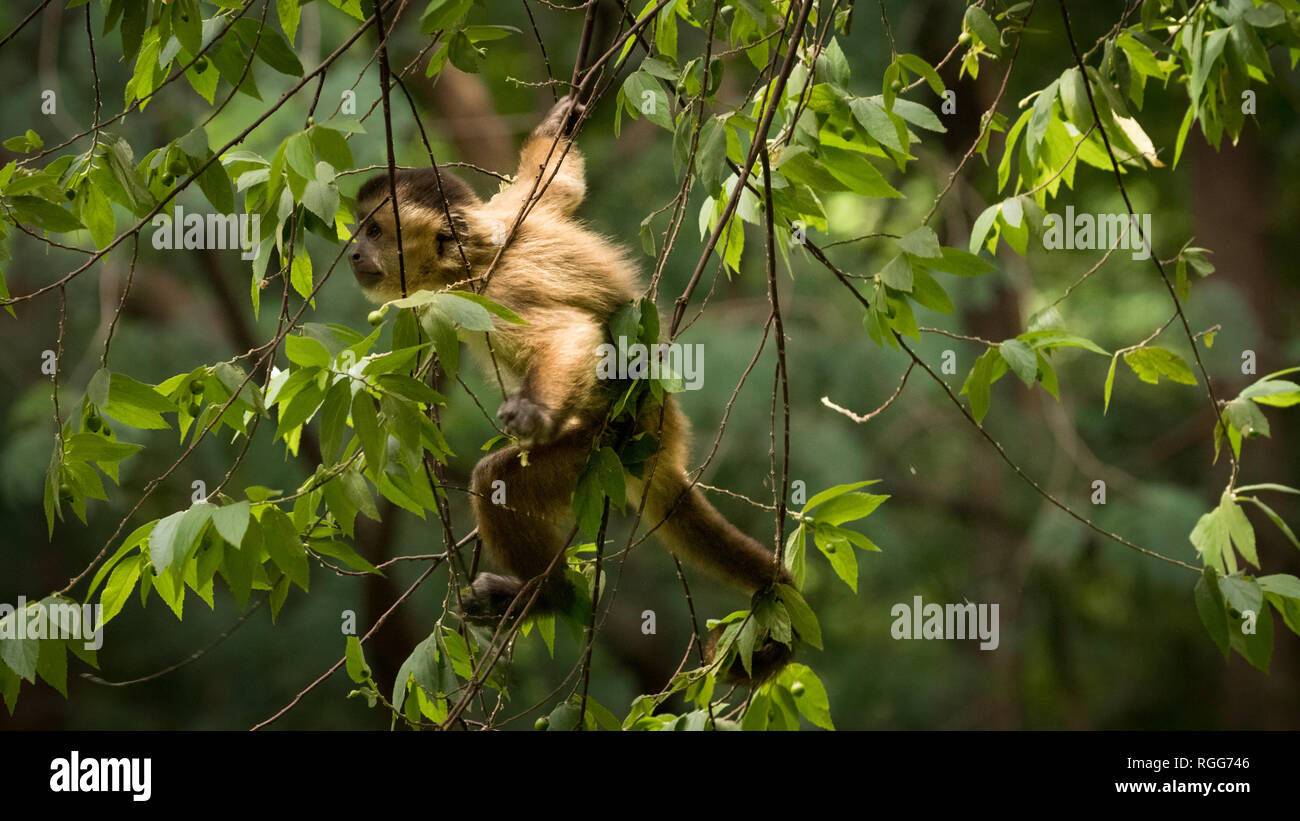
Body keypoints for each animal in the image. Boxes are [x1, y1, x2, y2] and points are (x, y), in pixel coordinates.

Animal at [349, 96, 795, 682]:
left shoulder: (494, 288)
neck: (473, 255)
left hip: (613, 448)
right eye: (359, 230)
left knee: (498, 479)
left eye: (375, 232)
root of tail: (666, 433)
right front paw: (556, 125)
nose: (353, 253)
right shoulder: (511, 214)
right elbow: (552, 186)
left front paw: (533, 411)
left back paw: (549, 597)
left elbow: (571, 334)